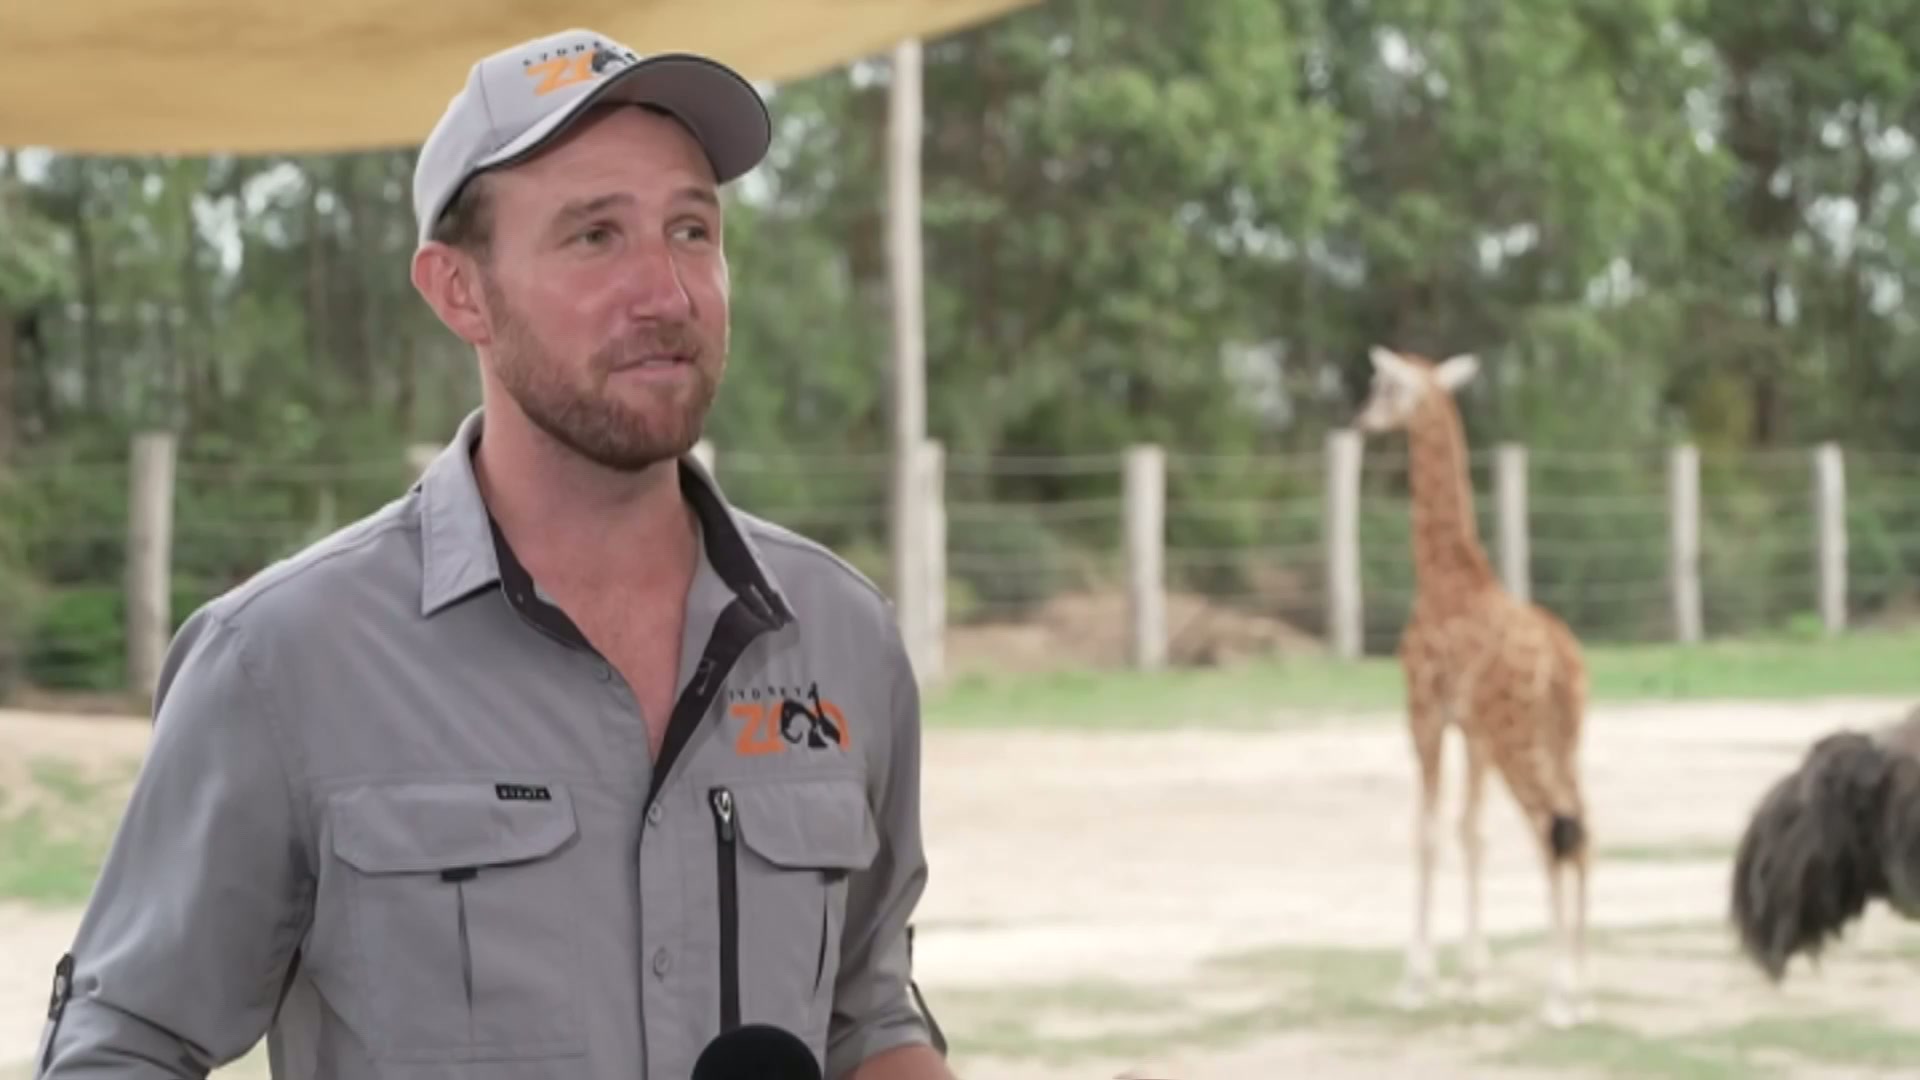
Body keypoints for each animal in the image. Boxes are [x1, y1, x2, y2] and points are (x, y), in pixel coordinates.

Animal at [1352, 344, 1593, 1028]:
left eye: (1384, 386)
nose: (1359, 420)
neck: (1443, 575)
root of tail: (1561, 663)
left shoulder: (1424, 716)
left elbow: (1428, 834)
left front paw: (1416, 980)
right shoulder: (1474, 733)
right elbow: (1472, 833)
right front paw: (1472, 976)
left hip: (1522, 744)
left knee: (1552, 831)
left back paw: (1557, 999)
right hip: (1561, 741)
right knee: (1581, 830)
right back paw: (1579, 984)